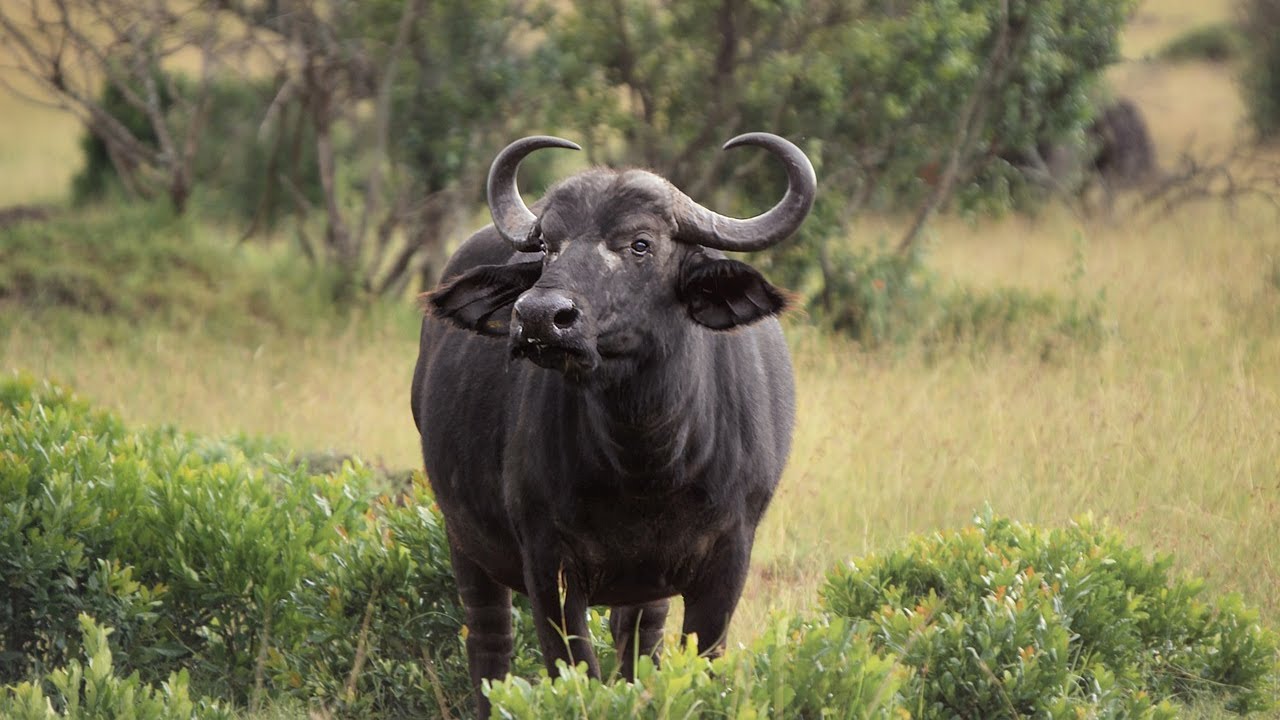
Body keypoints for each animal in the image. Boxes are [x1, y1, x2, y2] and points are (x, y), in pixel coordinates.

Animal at [410, 132, 816, 717]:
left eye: (640, 244)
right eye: (547, 246)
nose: (539, 317)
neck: (647, 462)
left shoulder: (728, 560)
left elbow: (698, 663)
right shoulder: (548, 566)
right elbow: (574, 669)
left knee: (639, 641)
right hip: (464, 541)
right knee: (490, 644)